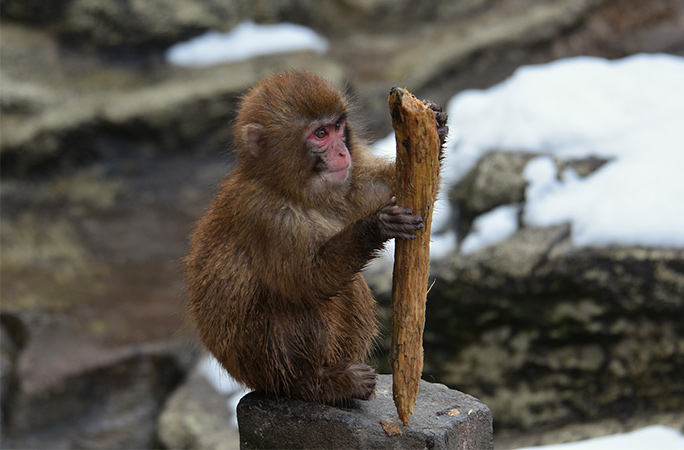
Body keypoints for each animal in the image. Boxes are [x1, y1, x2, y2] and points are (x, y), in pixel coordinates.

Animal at [186, 71, 448, 405]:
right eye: (320, 134)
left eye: (337, 127)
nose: (342, 152)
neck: (291, 189)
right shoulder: (267, 217)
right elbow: (307, 281)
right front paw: (375, 226)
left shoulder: (348, 179)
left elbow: (388, 185)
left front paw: (437, 125)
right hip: (264, 366)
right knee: (300, 303)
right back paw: (316, 384)